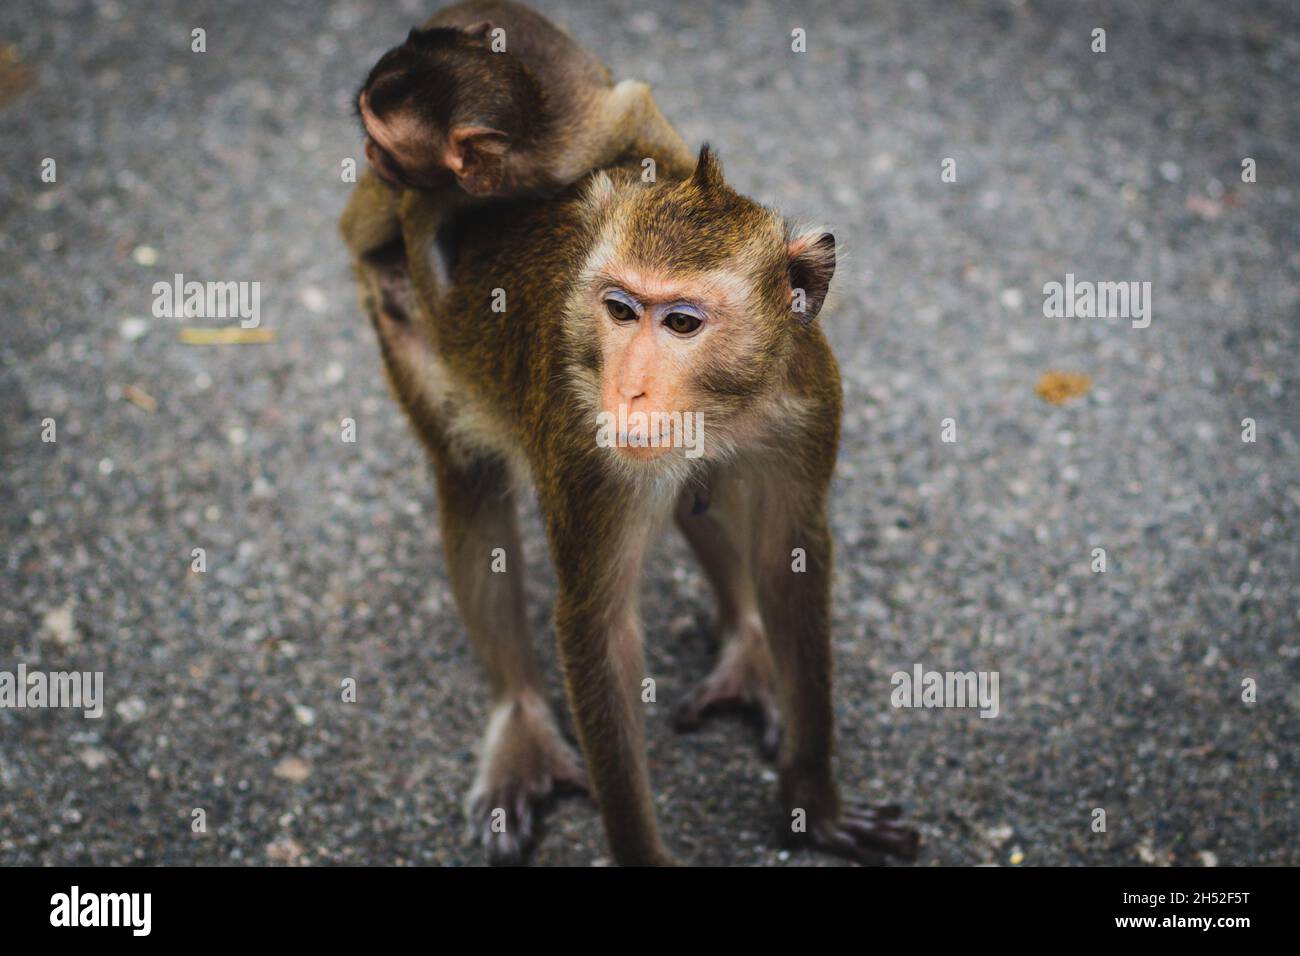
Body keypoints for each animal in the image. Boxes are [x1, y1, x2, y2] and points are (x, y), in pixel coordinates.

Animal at [343, 133, 920, 865]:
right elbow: (601, 626)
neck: (724, 410)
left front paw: (814, 804)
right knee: (468, 477)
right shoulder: (587, 442)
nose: (630, 391)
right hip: (402, 318)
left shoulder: (807, 401)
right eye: (620, 310)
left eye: (681, 322)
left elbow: (787, 559)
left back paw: (748, 648)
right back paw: (520, 722)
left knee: (695, 494)